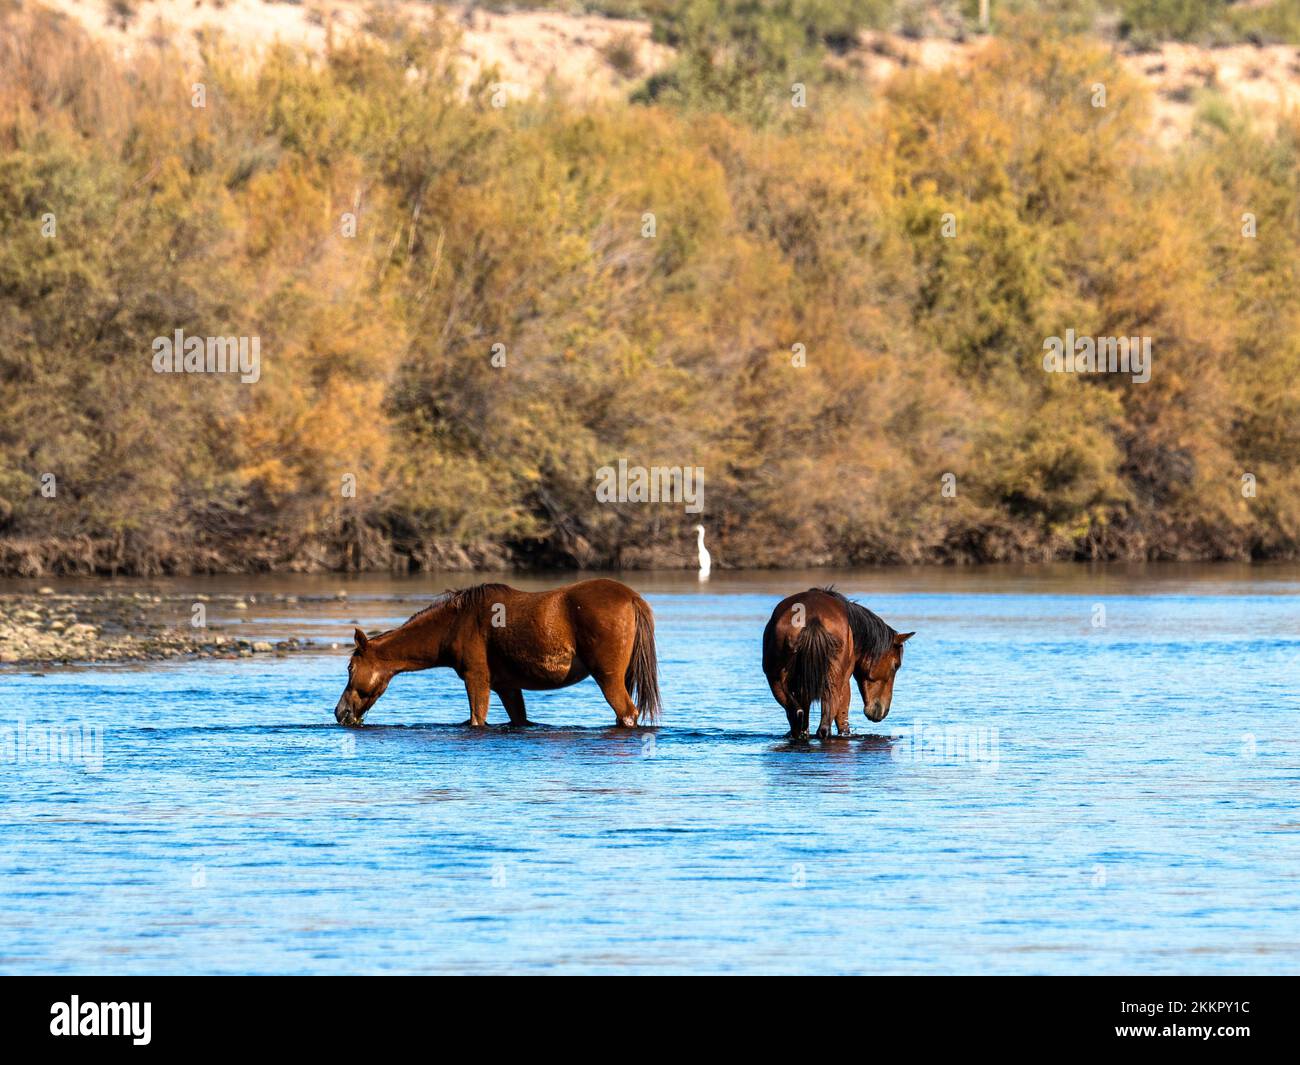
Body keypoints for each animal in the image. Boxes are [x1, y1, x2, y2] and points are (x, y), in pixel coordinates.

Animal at [333, 578, 660, 729]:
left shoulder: (476, 679)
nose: (340, 712)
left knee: (627, 713)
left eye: (350, 669)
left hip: (608, 677)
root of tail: (631, 597)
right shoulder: (507, 686)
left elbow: (477, 718)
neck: (455, 623)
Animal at [762, 588, 913, 739]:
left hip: (776, 679)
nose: (882, 711)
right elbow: (842, 718)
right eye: (896, 665)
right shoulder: (845, 682)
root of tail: (813, 618)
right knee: (824, 726)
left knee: (797, 713)